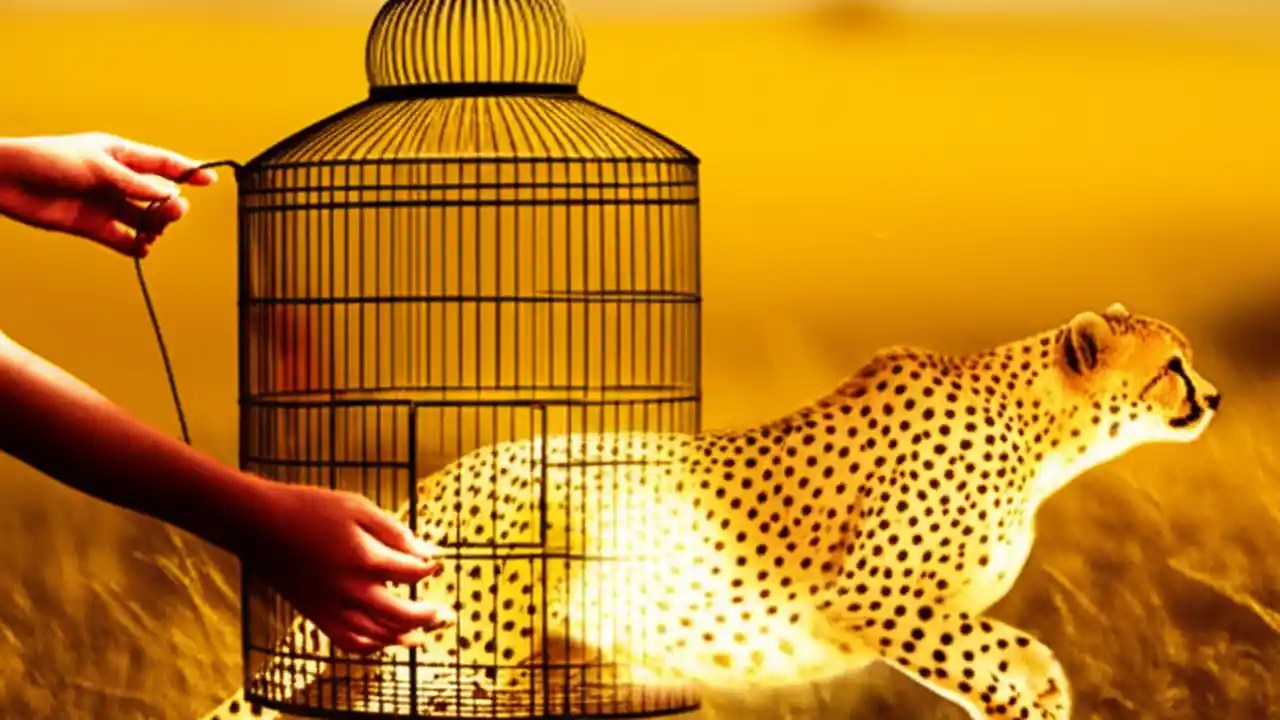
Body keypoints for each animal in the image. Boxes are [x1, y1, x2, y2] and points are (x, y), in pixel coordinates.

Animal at [201, 303, 1219, 720]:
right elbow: (992, 651)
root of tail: (449, 472)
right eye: (1170, 365)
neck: (1044, 436)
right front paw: (1023, 699)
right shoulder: (872, 602)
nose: (1210, 397)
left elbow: (1005, 647)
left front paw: (1041, 698)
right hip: (466, 651)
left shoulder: (912, 609)